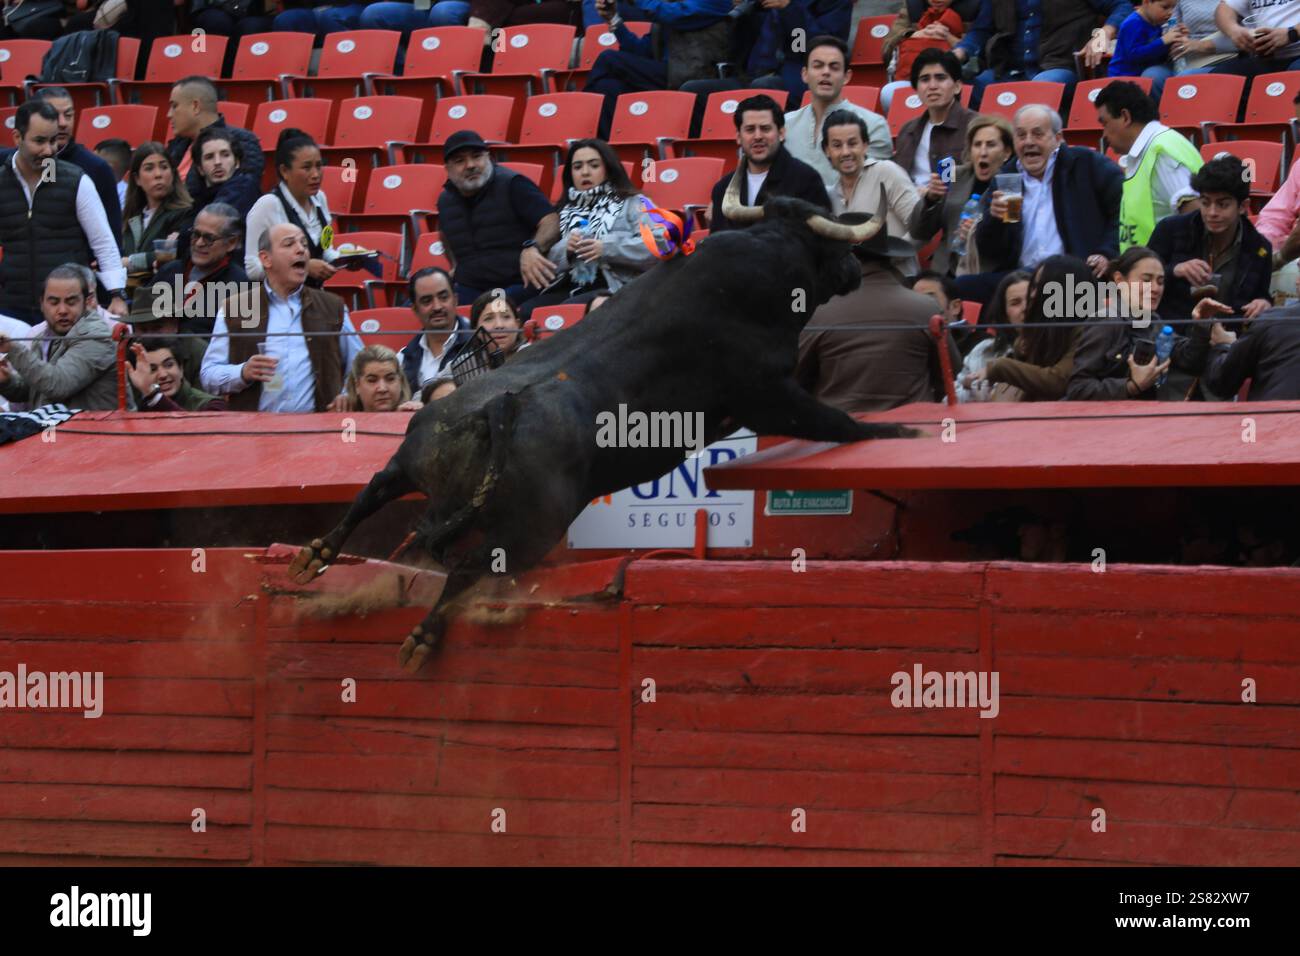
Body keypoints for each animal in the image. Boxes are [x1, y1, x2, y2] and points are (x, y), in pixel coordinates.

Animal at [289, 175, 921, 671]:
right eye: (829, 242)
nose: (857, 268)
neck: (766, 256)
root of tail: (498, 407)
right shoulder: (766, 392)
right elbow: (835, 420)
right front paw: (897, 432)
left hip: (413, 458)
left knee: (373, 490)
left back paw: (315, 556)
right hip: (532, 528)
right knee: (469, 566)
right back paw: (421, 635)